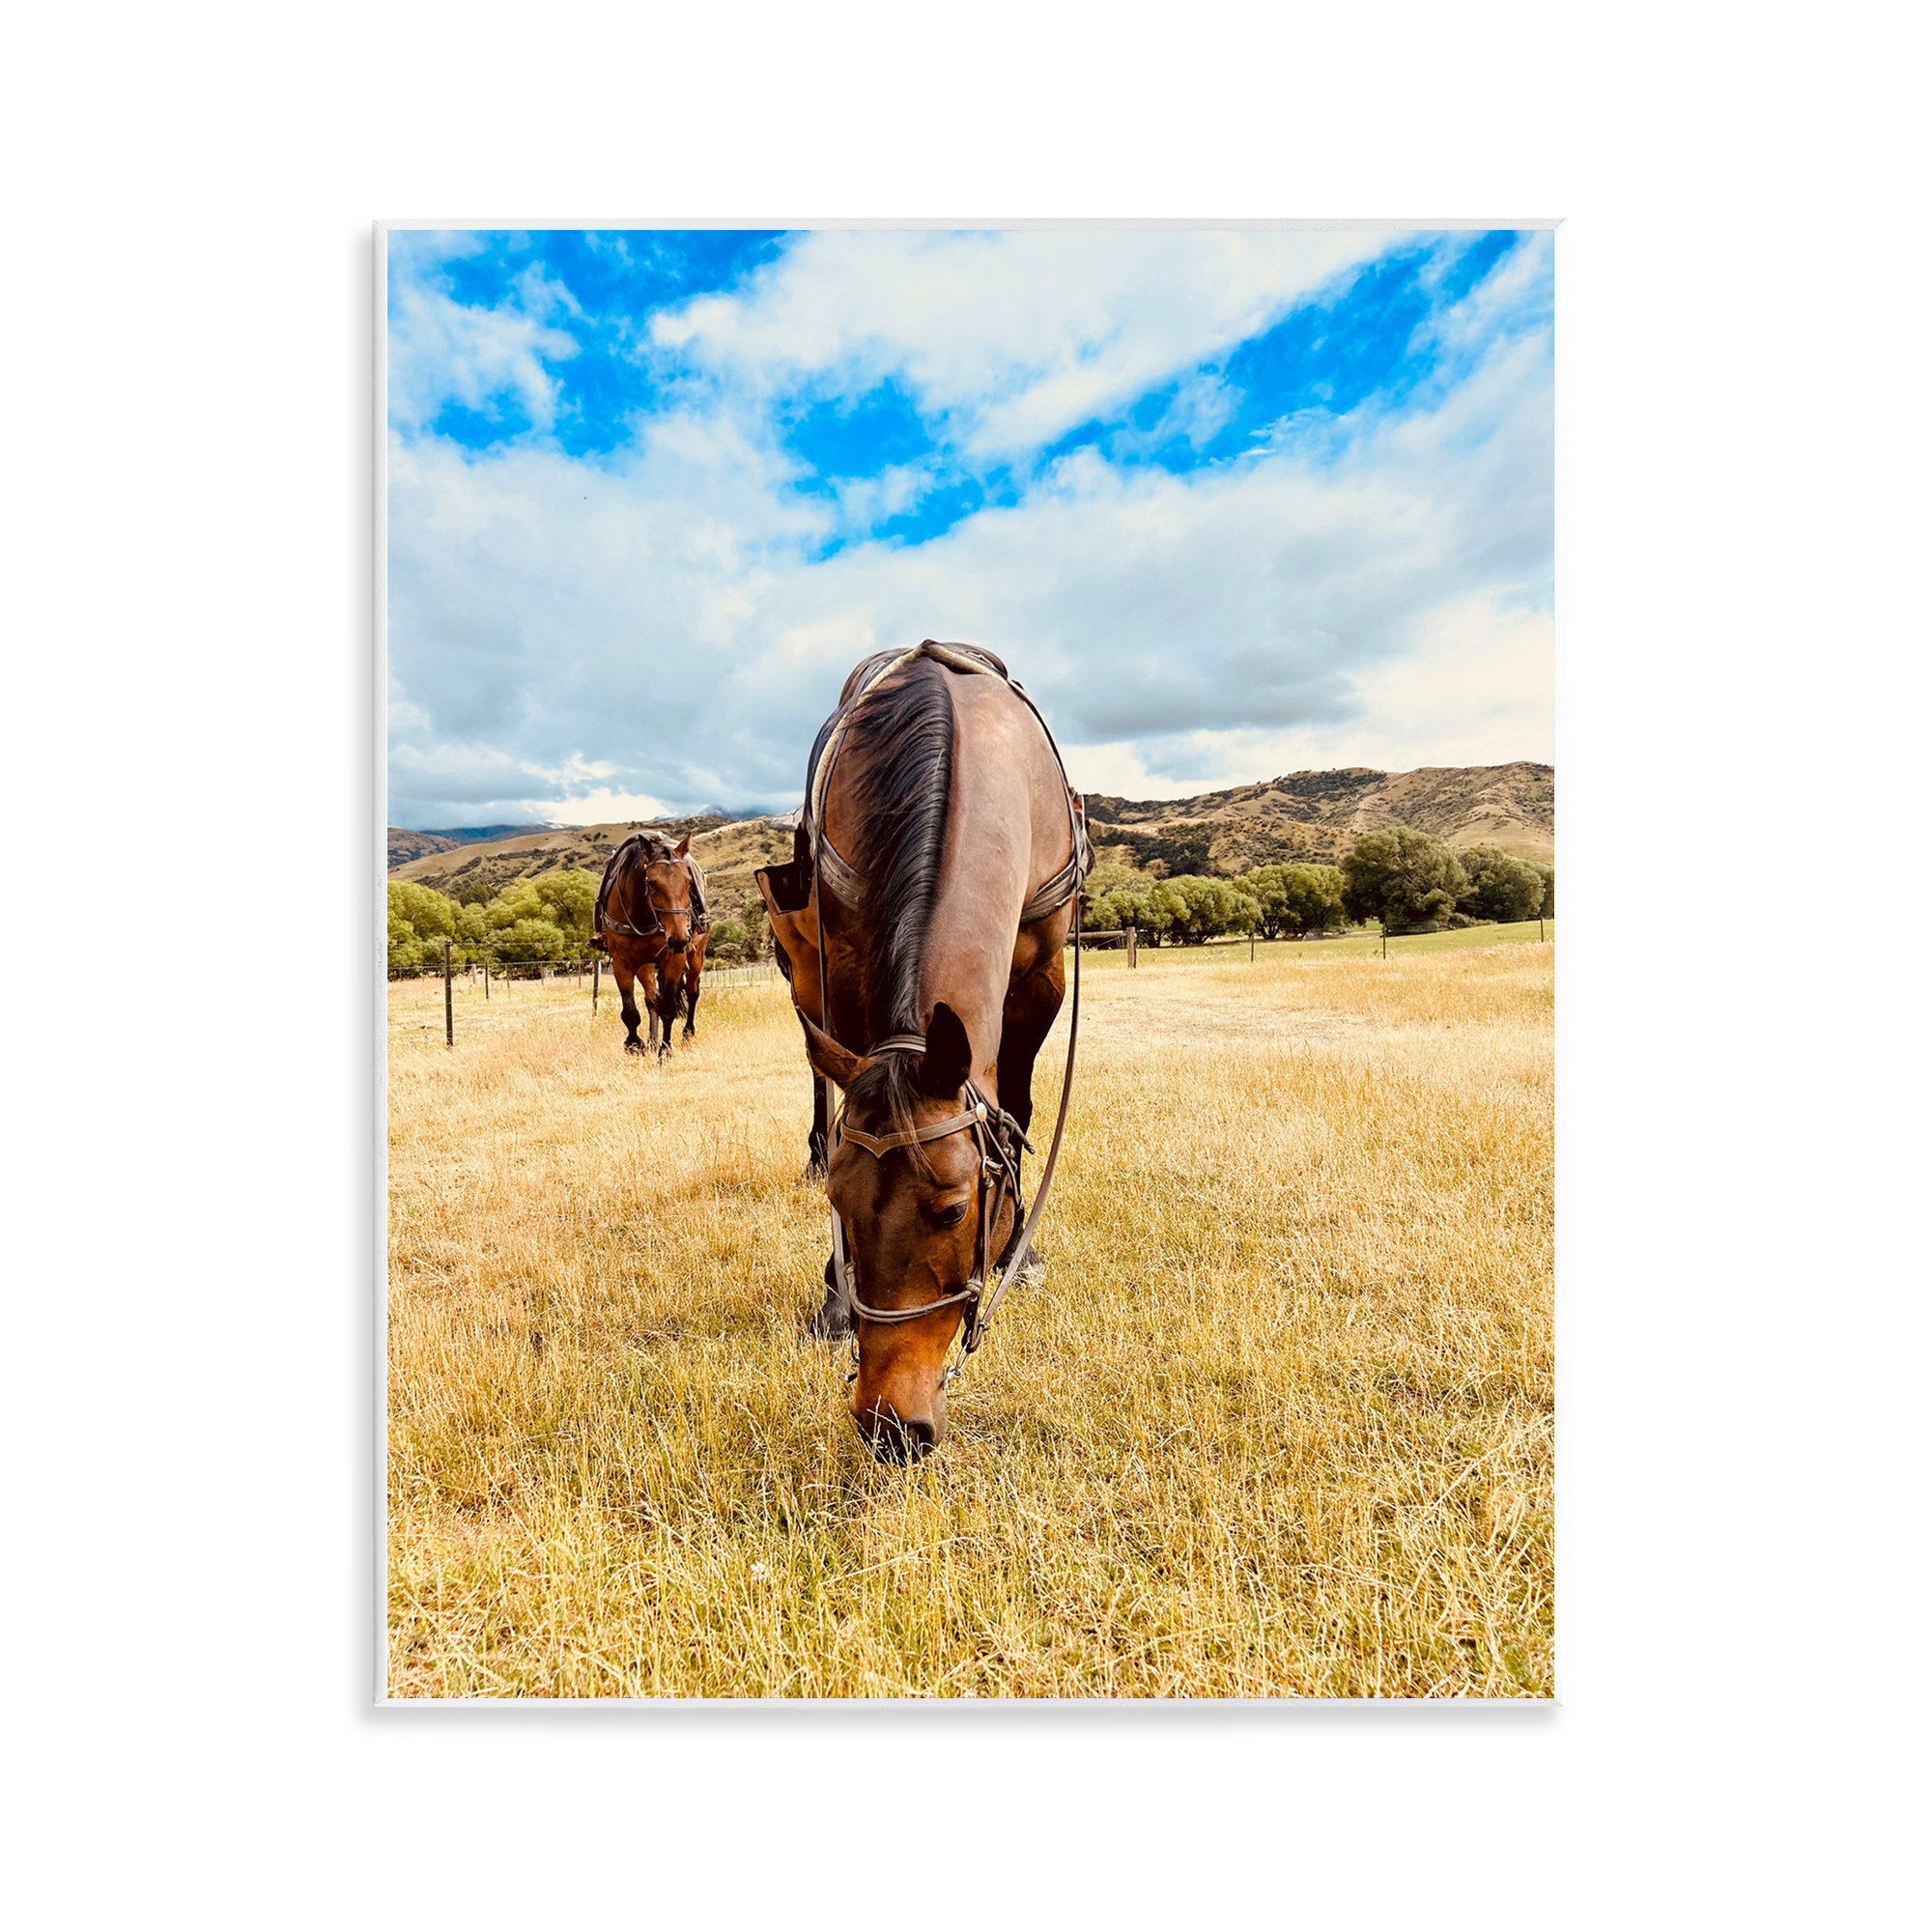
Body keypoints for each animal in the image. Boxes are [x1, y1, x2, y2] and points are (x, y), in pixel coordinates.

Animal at [595, 833, 707, 1059]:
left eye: (688, 882)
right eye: (652, 883)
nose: (679, 939)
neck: (644, 915)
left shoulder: (675, 959)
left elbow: (668, 1008)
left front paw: (665, 1052)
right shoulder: (622, 963)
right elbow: (631, 1011)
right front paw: (634, 1045)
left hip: (696, 956)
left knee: (692, 993)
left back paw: (687, 1034)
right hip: (645, 964)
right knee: (652, 998)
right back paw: (653, 1040)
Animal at [755, 642, 1089, 1460]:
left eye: (955, 1209)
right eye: (840, 1202)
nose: (890, 1426)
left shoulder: (1042, 971)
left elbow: (1018, 1104)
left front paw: (1021, 1250)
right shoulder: (845, 964)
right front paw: (834, 1296)